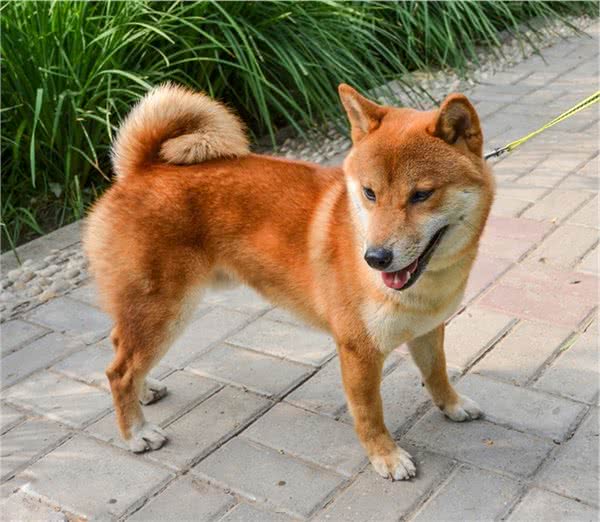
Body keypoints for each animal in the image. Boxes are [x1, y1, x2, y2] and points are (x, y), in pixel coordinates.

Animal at [85, 82, 496, 480]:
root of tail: (142, 168)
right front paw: (386, 456)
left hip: (150, 312)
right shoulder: (358, 350)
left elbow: (437, 374)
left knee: (120, 345)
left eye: (422, 195)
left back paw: (145, 390)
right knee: (118, 371)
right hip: (164, 312)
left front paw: (453, 405)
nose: (376, 257)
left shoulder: (428, 329)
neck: (424, 287)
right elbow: (370, 414)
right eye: (370, 193)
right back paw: (136, 432)